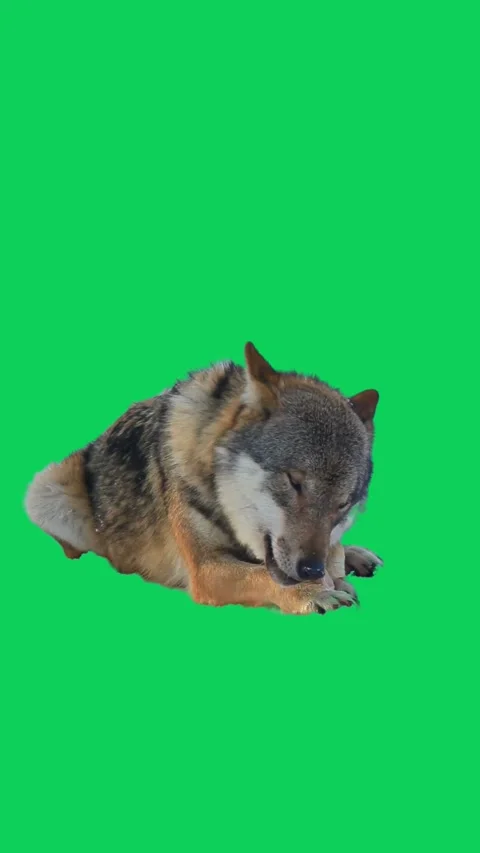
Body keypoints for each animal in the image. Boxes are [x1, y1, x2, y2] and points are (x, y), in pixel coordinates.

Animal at [25, 343, 382, 615]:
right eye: (294, 481)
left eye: (342, 505)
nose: (311, 570)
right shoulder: (206, 569)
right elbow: (262, 576)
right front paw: (315, 592)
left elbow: (333, 550)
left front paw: (338, 570)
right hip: (43, 491)